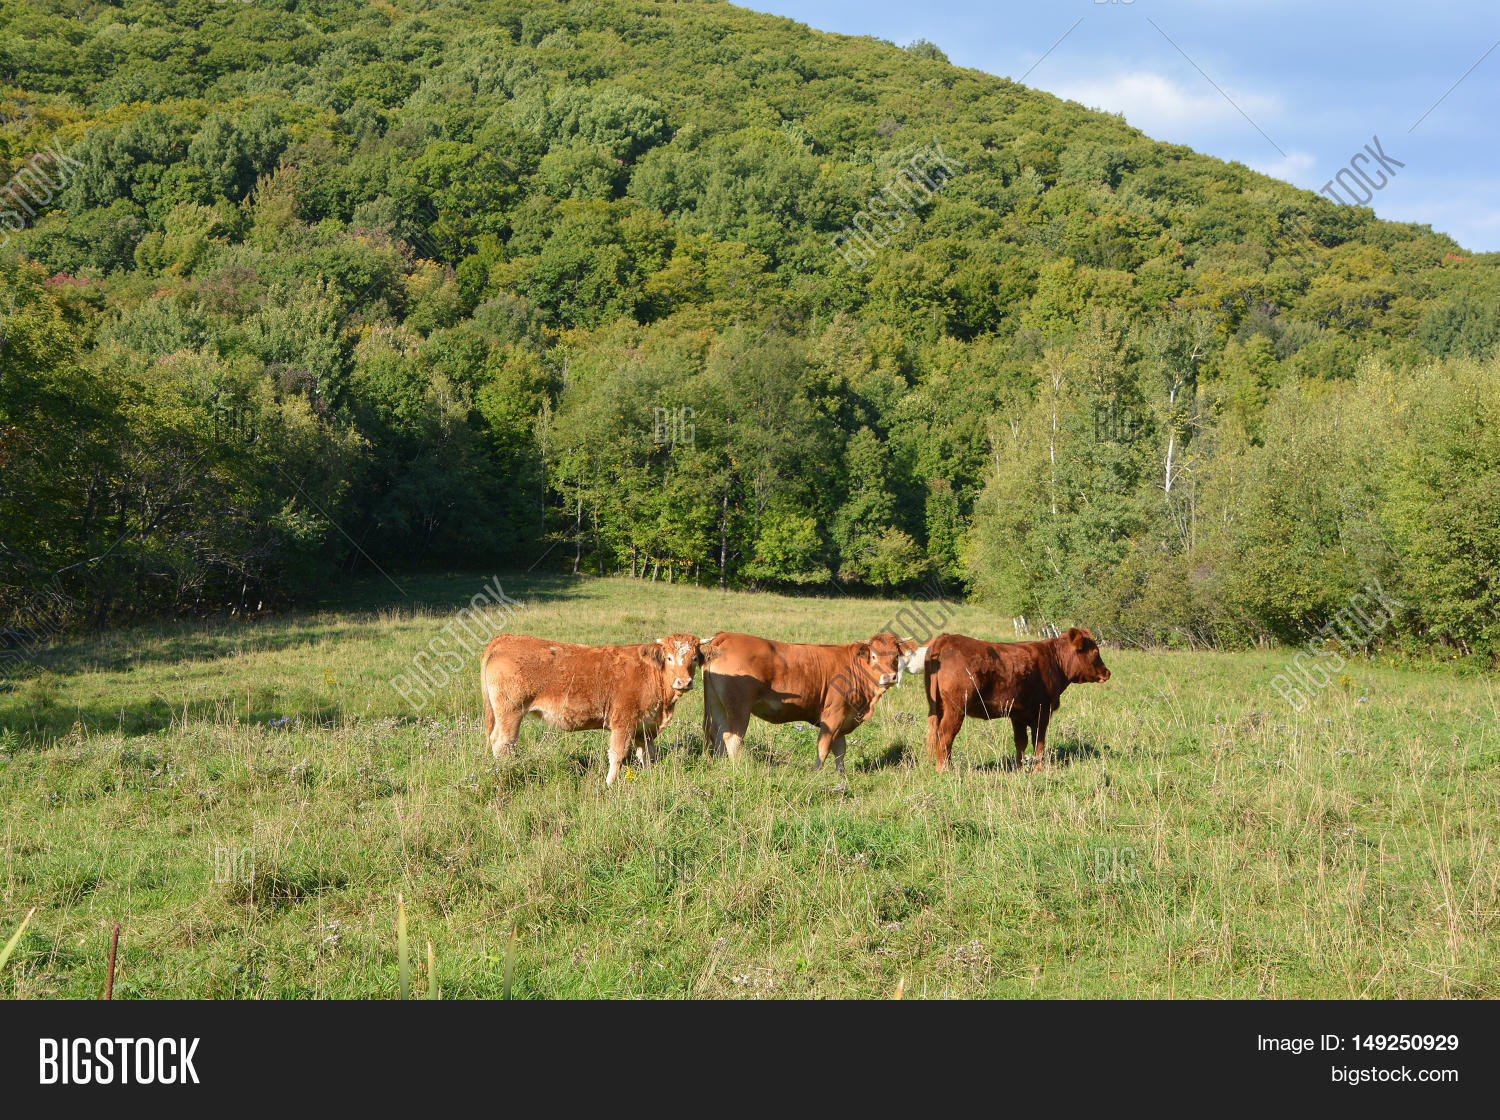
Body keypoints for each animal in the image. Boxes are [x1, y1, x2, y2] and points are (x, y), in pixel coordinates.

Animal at [480, 632, 715, 785]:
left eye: (694, 658)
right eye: (669, 657)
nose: (683, 682)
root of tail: (505, 638)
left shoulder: (645, 727)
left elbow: (647, 754)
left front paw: (650, 777)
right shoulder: (623, 722)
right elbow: (617, 754)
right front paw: (609, 784)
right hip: (510, 712)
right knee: (503, 744)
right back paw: (508, 773)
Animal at [701, 631, 924, 774]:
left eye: (896, 656)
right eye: (874, 656)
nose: (890, 677)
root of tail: (727, 636)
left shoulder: (844, 718)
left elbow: (840, 750)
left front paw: (841, 777)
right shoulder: (833, 716)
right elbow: (823, 747)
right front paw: (816, 774)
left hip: (718, 706)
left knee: (718, 736)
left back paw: (721, 765)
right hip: (739, 709)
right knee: (731, 738)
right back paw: (738, 767)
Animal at [916, 628, 1110, 771]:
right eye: (1095, 652)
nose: (1107, 672)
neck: (1055, 662)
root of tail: (946, 638)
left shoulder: (1018, 714)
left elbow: (1021, 742)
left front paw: (1019, 768)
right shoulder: (1042, 712)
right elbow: (1038, 742)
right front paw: (1037, 769)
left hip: (936, 706)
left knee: (933, 731)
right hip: (956, 707)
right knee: (945, 734)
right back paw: (943, 769)